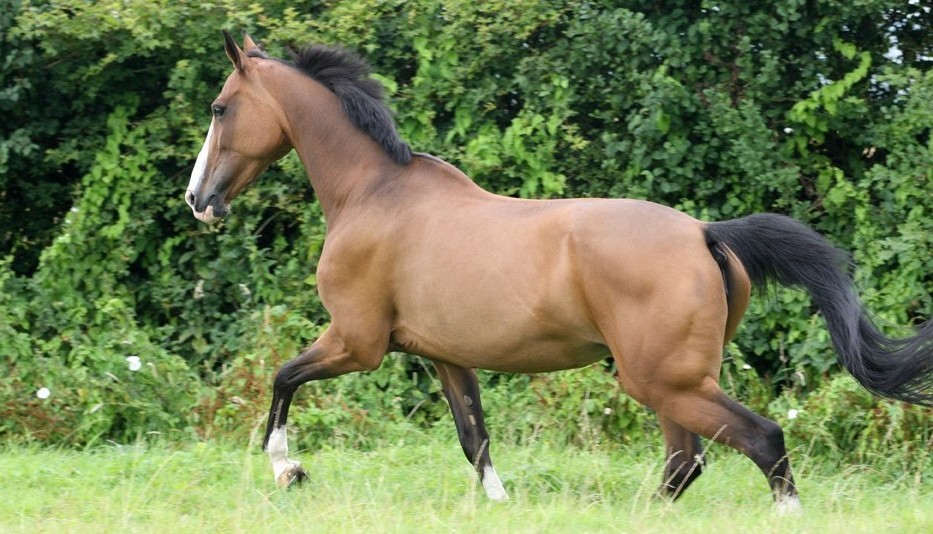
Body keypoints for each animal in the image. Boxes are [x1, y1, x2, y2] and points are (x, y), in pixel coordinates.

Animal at [185, 32, 933, 511]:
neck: (373, 194)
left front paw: (288, 470)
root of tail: (704, 232)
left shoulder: (356, 341)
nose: (198, 200)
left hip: (662, 379)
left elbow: (283, 380)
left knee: (757, 441)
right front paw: (497, 502)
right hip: (672, 382)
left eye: (220, 108)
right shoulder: (443, 355)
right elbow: (474, 438)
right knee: (685, 459)